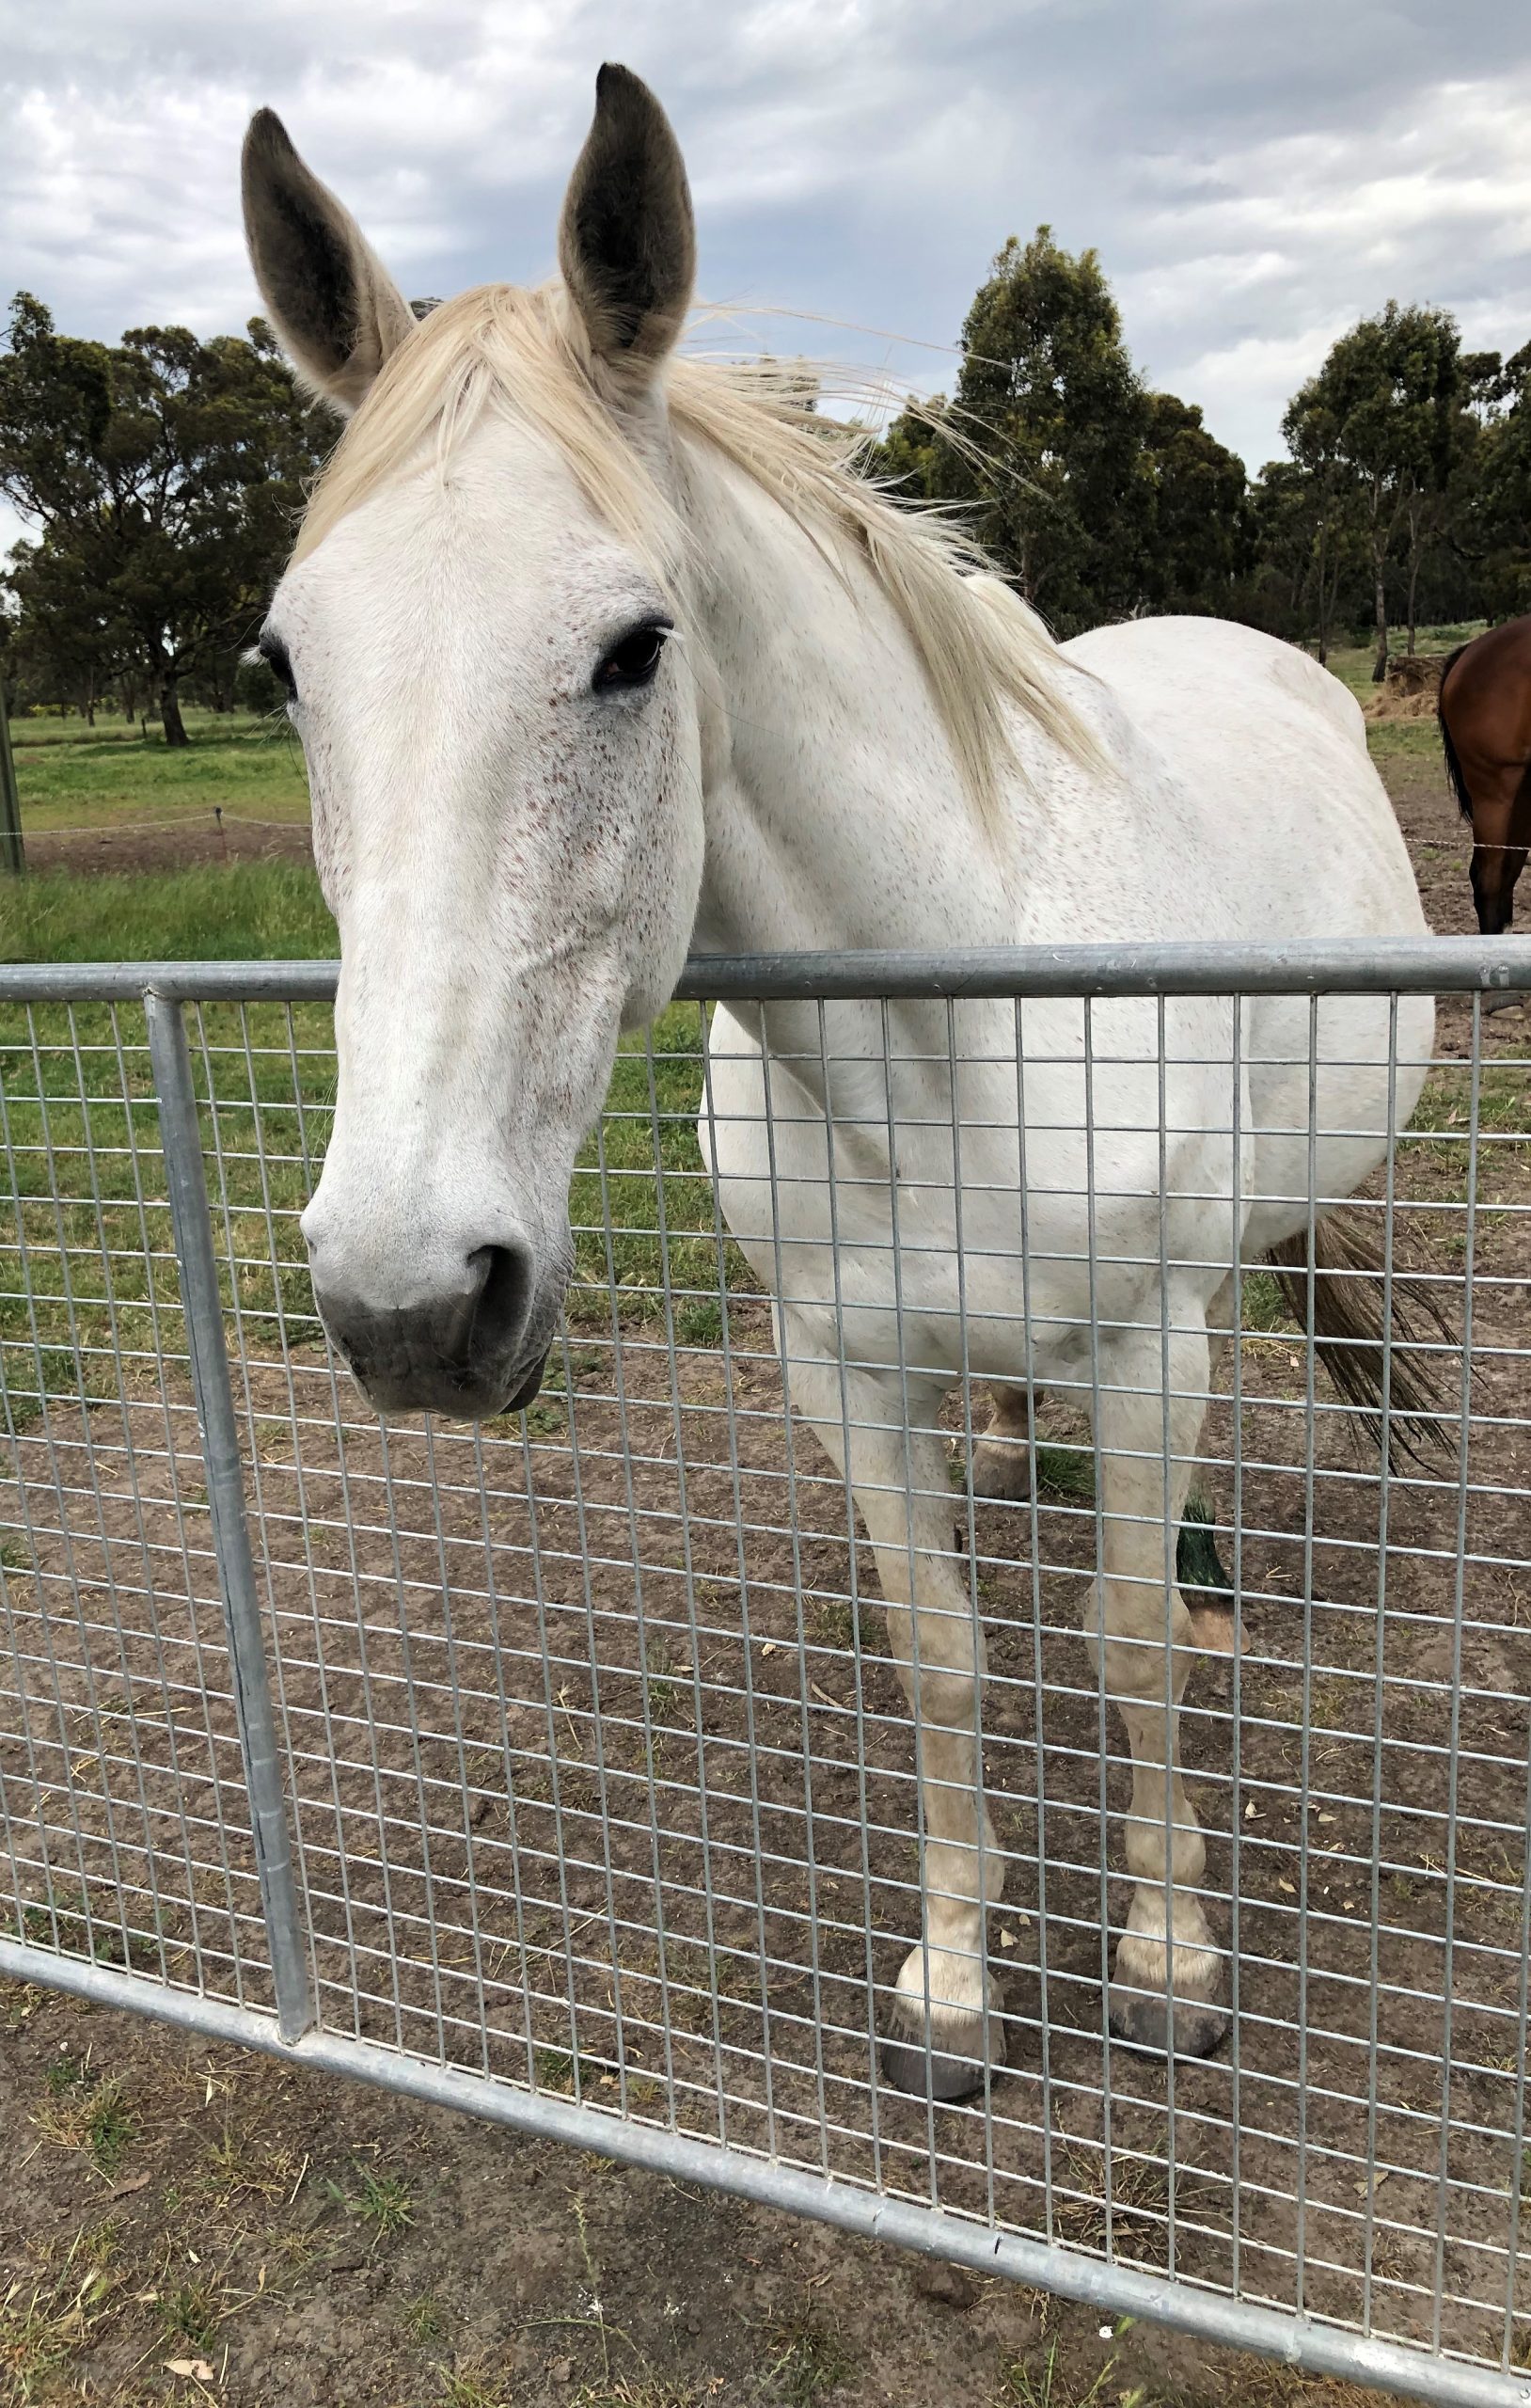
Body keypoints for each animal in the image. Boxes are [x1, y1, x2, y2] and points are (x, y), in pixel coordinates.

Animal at [240, 66, 1436, 2101]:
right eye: (286, 666)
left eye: (633, 648)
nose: (408, 1303)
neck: (944, 1036)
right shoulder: (845, 1376)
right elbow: (941, 1652)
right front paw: (954, 1983)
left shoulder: (1149, 1348)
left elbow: (1122, 1644)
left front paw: (1166, 1959)